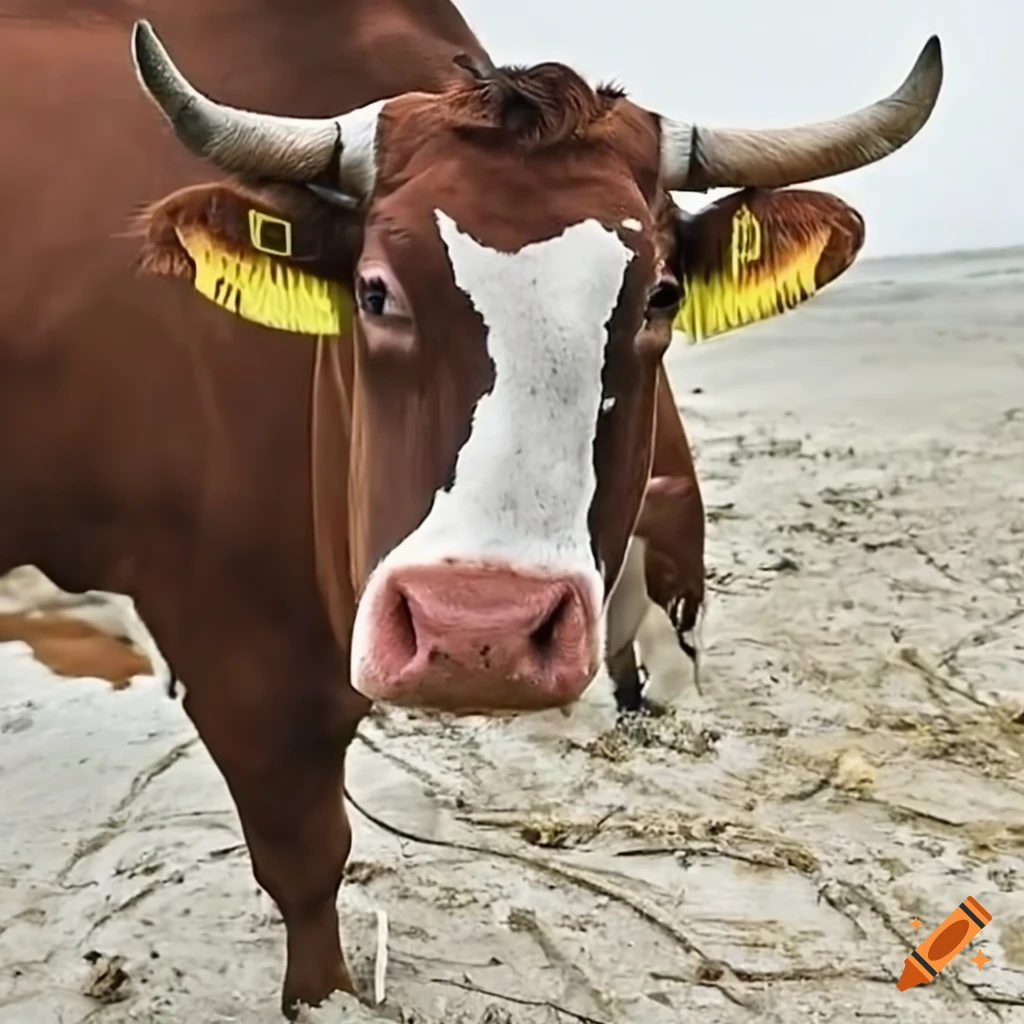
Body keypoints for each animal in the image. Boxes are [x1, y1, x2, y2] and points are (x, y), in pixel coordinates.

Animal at [0, 0, 941, 1016]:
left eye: (660, 296)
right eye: (373, 290)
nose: (477, 632)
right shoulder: (233, 644)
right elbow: (304, 856)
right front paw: (321, 993)